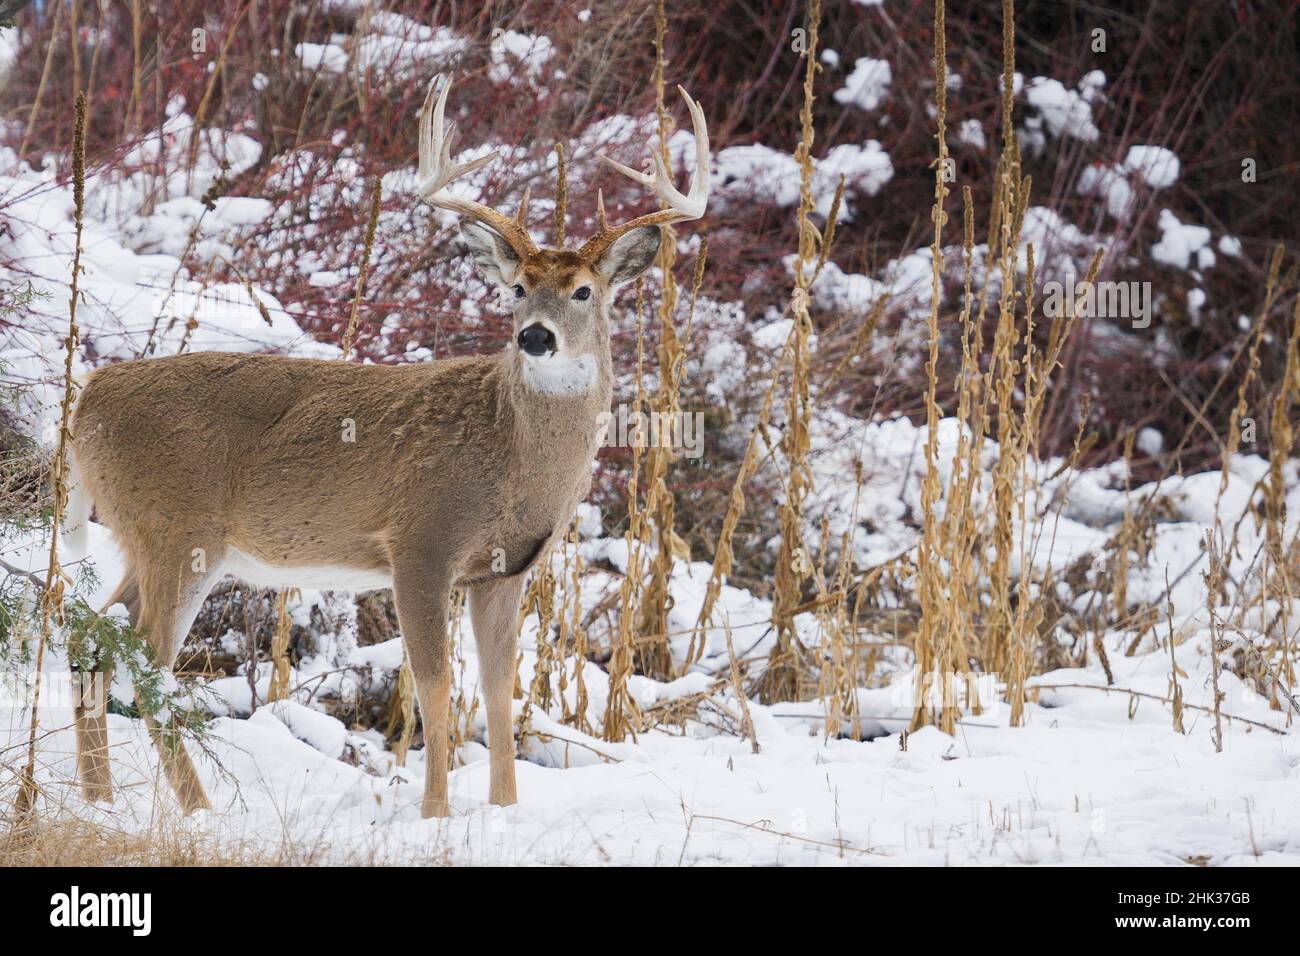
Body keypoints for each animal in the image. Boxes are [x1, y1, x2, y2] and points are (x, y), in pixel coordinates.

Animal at [65, 73, 710, 818]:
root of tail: (86, 399)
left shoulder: (506, 571)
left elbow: (498, 690)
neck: (514, 463)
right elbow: (434, 688)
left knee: (91, 635)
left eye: (583, 291)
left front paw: (504, 810)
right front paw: (436, 815)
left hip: (147, 536)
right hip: (175, 528)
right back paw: (199, 810)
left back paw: (99, 802)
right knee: (142, 657)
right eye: (518, 288)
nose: (535, 336)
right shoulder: (420, 542)